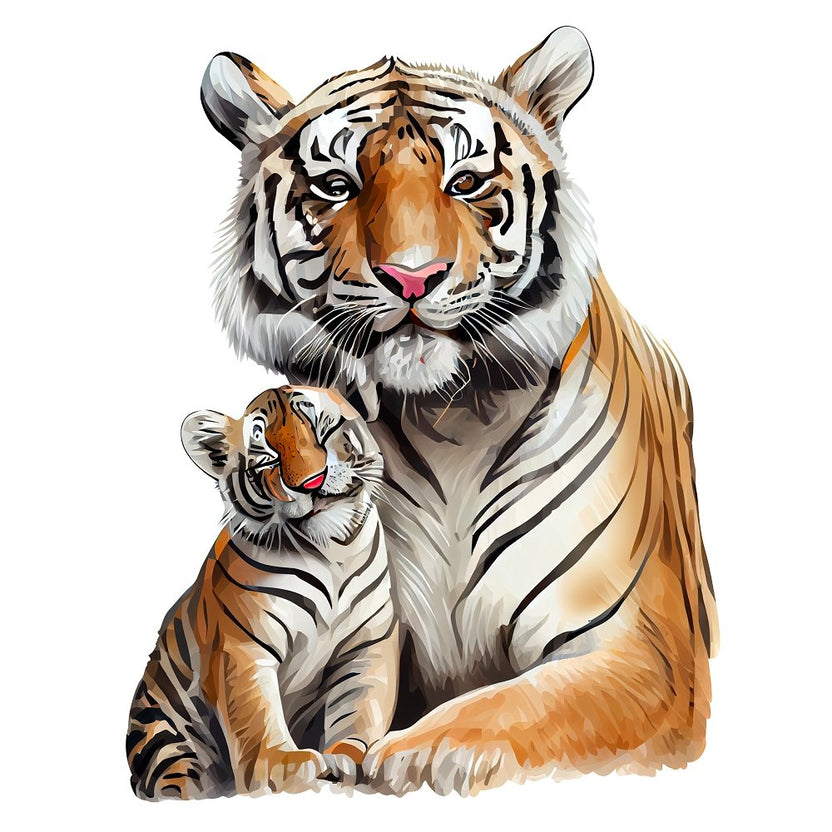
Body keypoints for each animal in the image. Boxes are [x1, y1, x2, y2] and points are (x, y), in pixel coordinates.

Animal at [126, 386, 397, 799]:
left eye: (323, 430)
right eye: (267, 456)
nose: (311, 484)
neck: (333, 553)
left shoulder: (368, 645)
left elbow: (360, 709)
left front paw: (348, 757)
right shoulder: (242, 645)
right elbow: (255, 715)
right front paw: (282, 766)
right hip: (167, 743)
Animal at [198, 26, 718, 794]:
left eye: (465, 183)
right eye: (337, 187)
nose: (412, 277)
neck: (446, 418)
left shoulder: (643, 651)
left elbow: (515, 705)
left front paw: (415, 751)